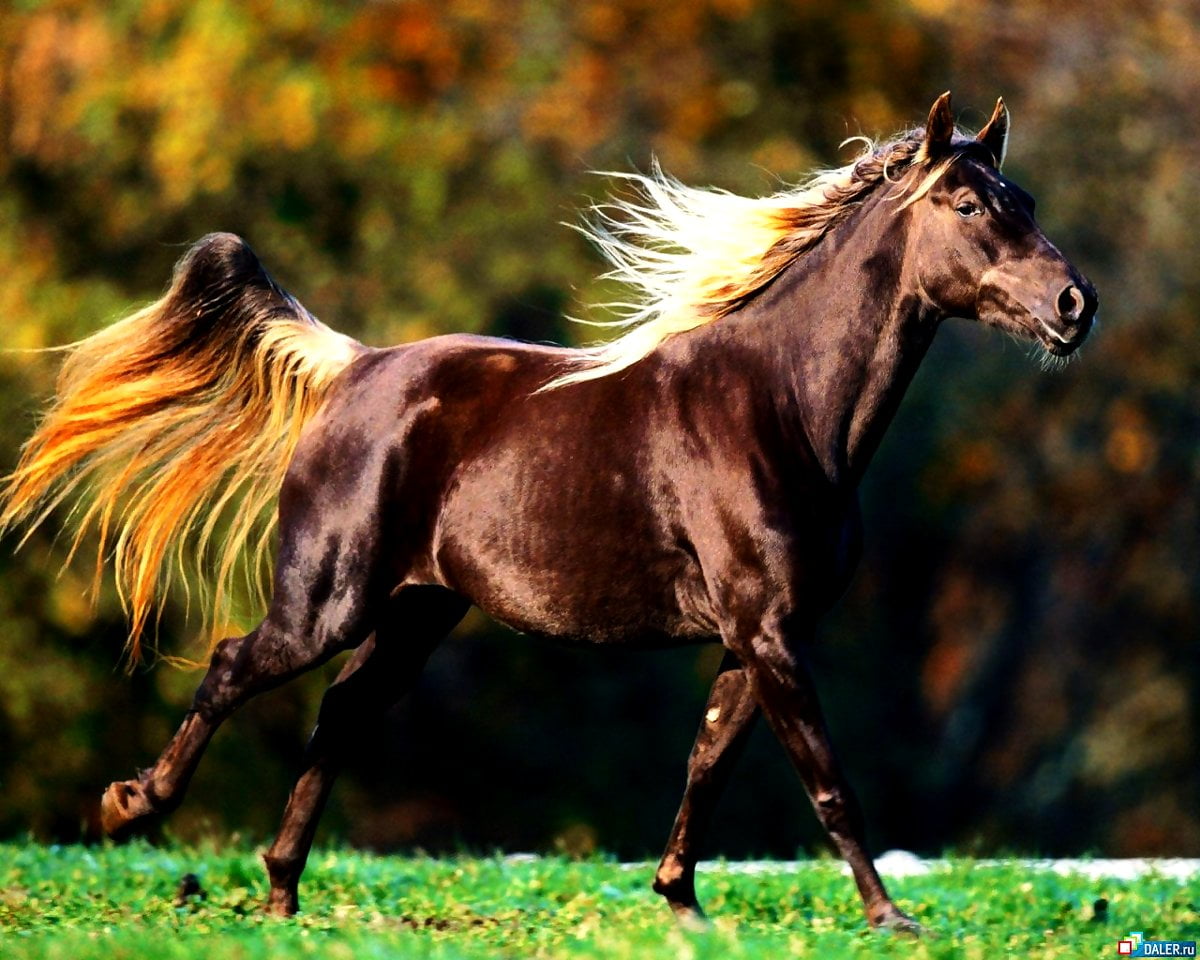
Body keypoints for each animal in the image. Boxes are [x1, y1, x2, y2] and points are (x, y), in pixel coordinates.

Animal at [0, 93, 1096, 931]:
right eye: (967, 201)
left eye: (1027, 198)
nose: (1075, 305)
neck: (781, 405)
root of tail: (354, 369)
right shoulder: (770, 633)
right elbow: (825, 779)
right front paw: (892, 918)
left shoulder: (757, 637)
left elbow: (709, 760)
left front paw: (681, 904)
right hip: (328, 602)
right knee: (236, 665)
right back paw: (134, 807)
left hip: (415, 611)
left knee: (340, 714)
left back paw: (280, 897)